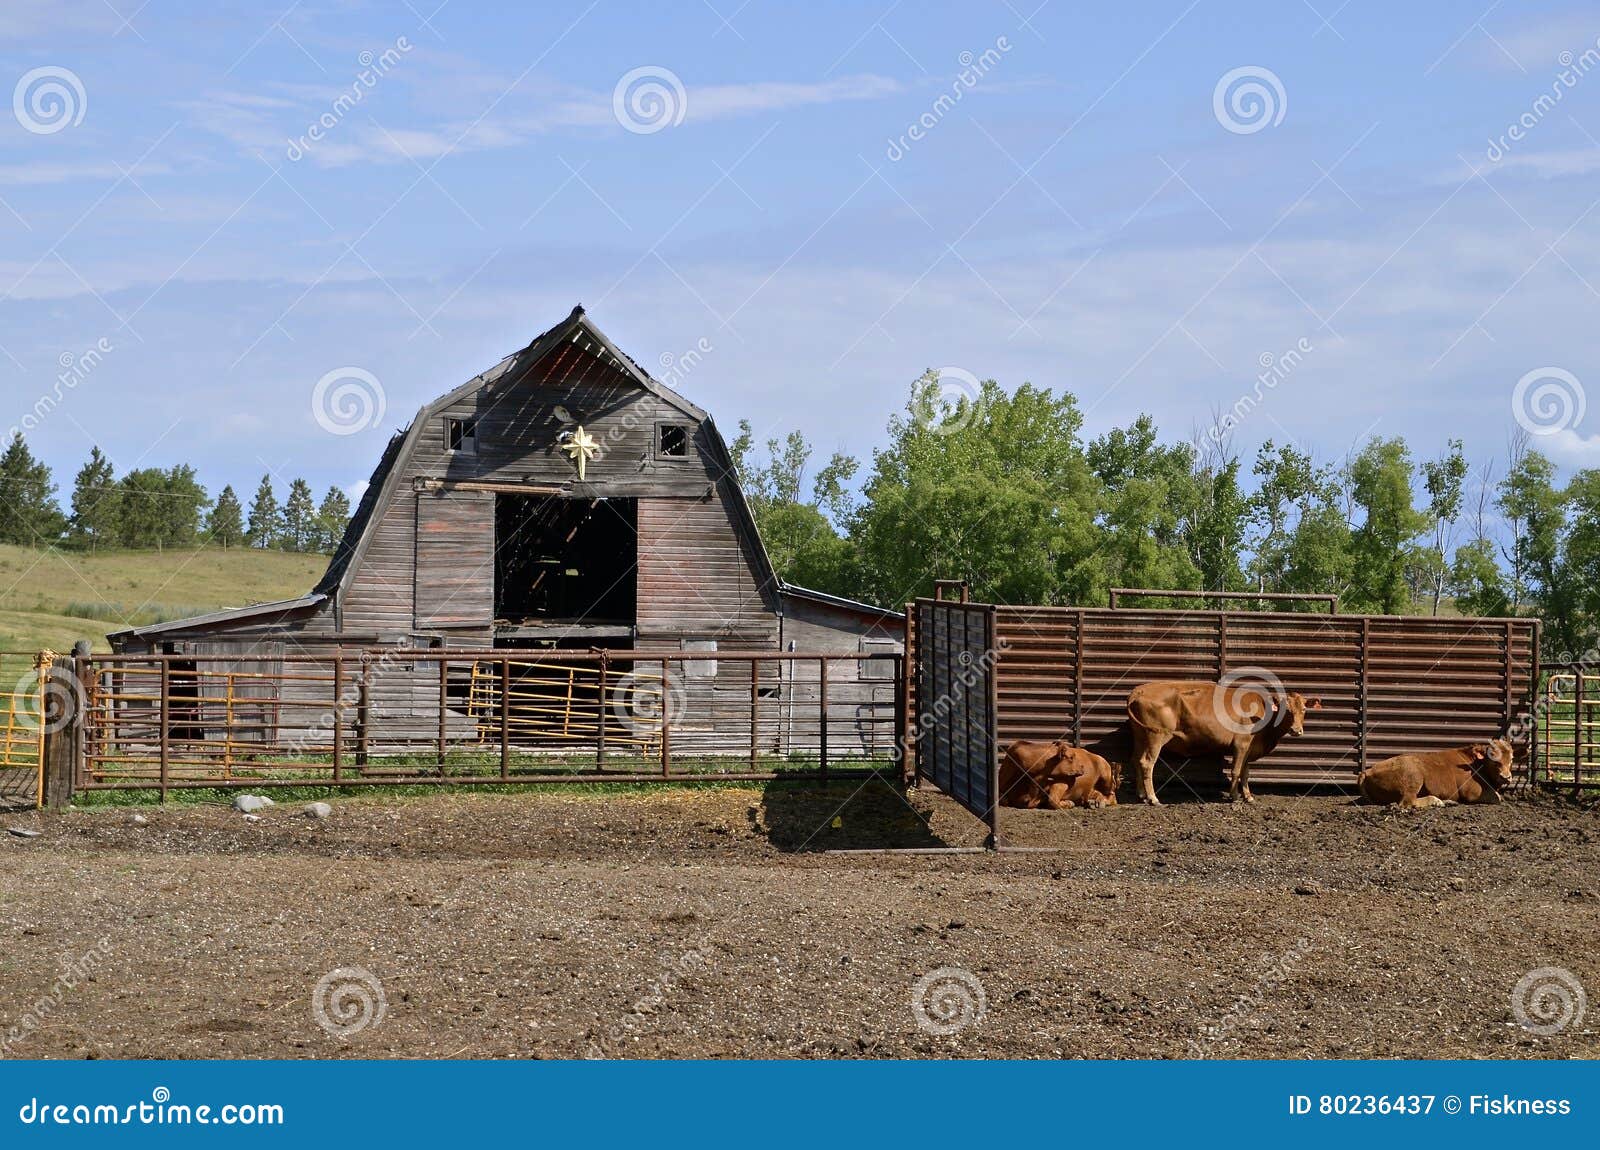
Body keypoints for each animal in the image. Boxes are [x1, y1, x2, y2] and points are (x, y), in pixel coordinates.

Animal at [1126, 680, 1321, 805]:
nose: (1296, 730)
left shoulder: (1250, 748)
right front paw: (1234, 796)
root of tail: (1139, 690)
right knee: (1147, 763)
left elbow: (1245, 773)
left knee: (1136, 760)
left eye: (1304, 709)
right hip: (1156, 735)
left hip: (1140, 736)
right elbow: (1236, 771)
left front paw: (1249, 797)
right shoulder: (1241, 744)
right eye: (1286, 710)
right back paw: (1153, 798)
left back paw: (1141, 794)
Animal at [1357, 739, 1515, 809]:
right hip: (1413, 778)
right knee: (1408, 802)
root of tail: (1368, 770)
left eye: (1512, 758)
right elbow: (1497, 797)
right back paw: (1436, 801)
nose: (1506, 777)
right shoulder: (1472, 791)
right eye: (1493, 759)